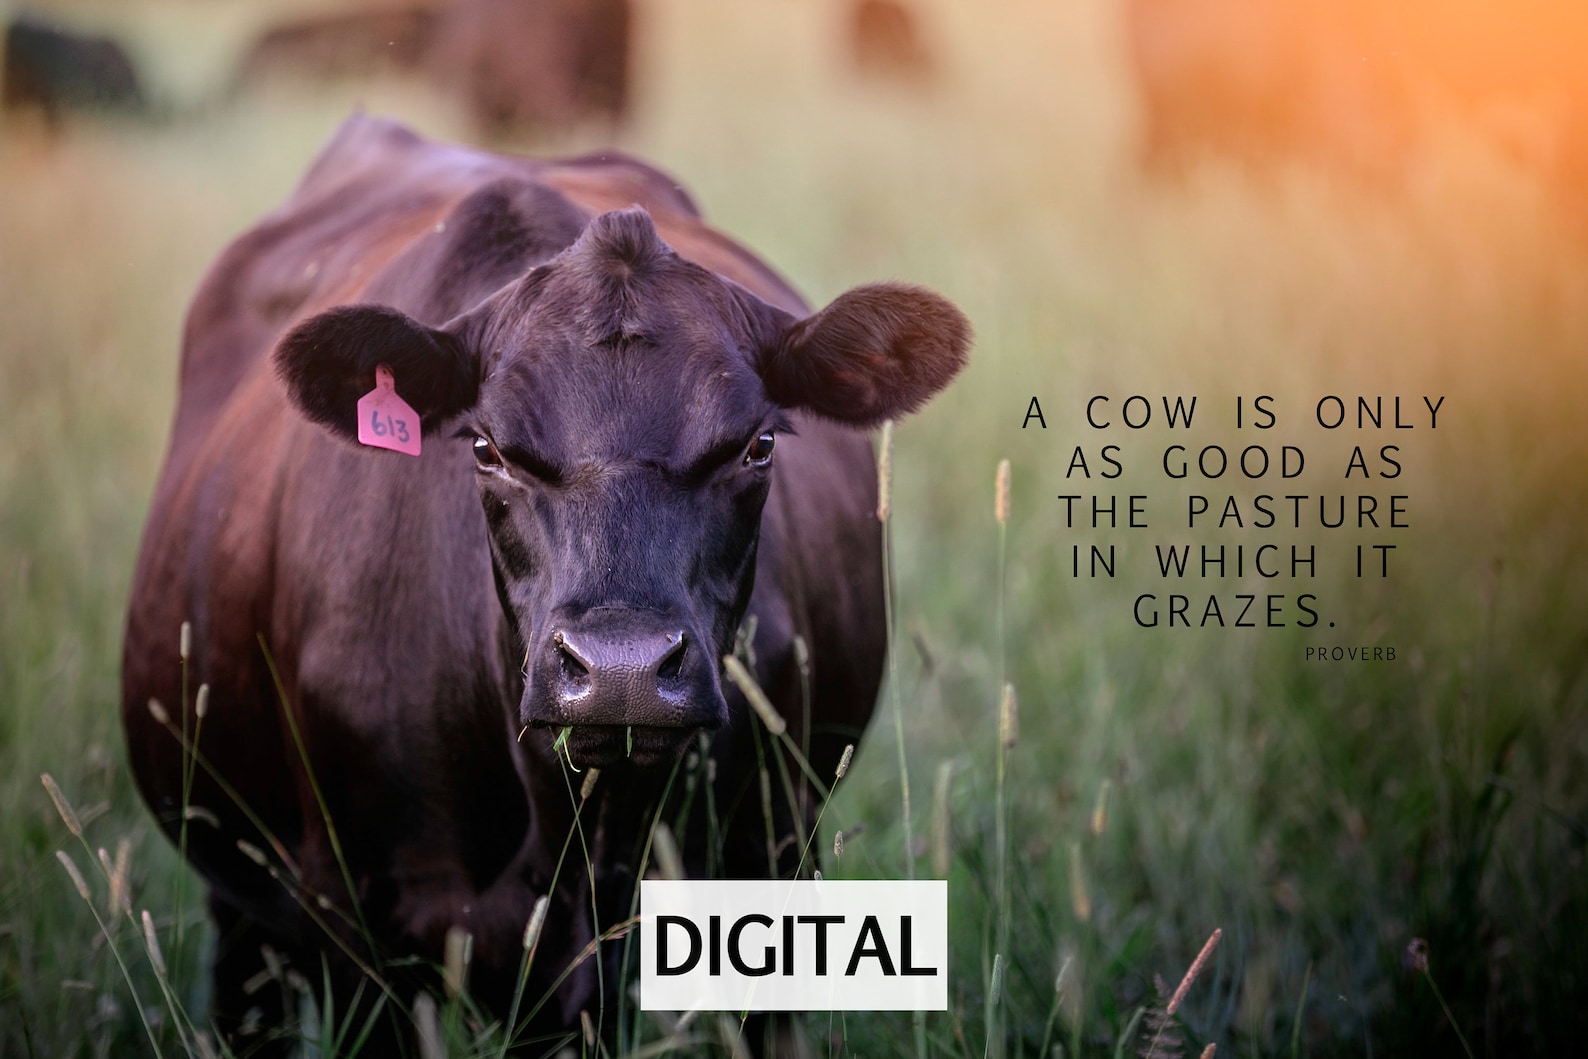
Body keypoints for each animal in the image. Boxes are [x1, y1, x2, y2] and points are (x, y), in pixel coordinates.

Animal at [121, 114, 968, 1053]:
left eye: (757, 444)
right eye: (487, 447)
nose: (622, 671)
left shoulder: (758, 879)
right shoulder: (358, 930)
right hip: (243, 901)